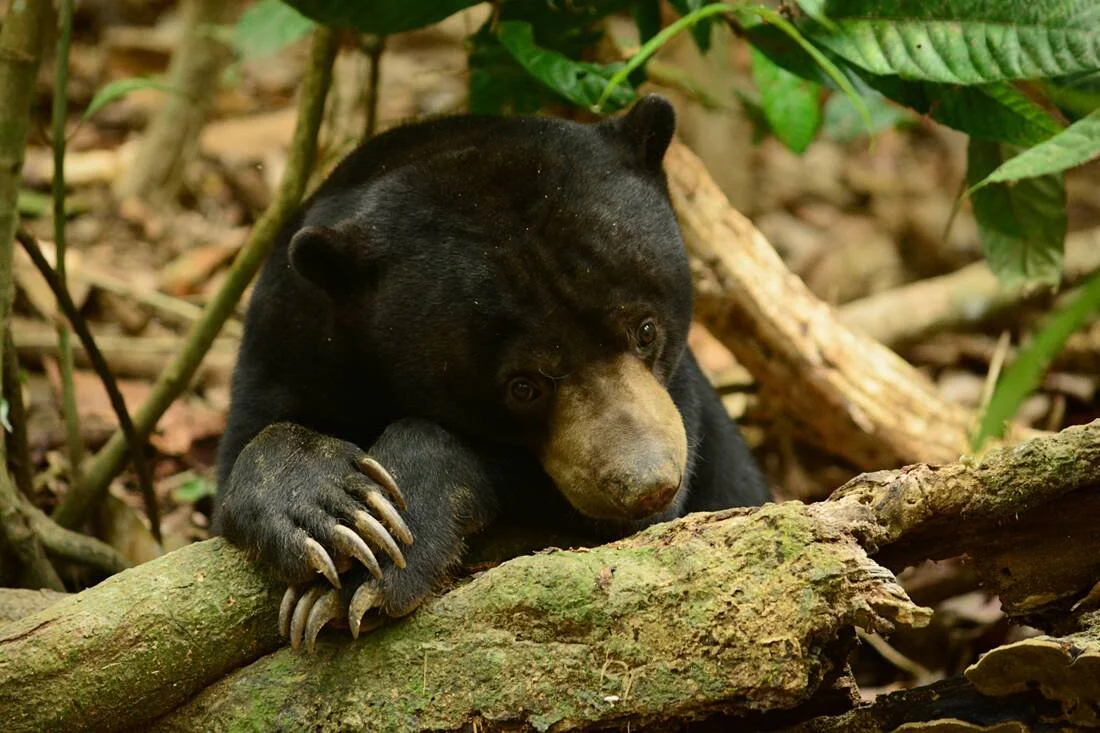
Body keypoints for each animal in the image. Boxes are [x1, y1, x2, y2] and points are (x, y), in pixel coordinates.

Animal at [213, 95, 769, 652]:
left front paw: (355, 578)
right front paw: (336, 516)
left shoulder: (679, 409)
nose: (648, 485)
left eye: (646, 330)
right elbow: (253, 450)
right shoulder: (287, 341)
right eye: (523, 387)